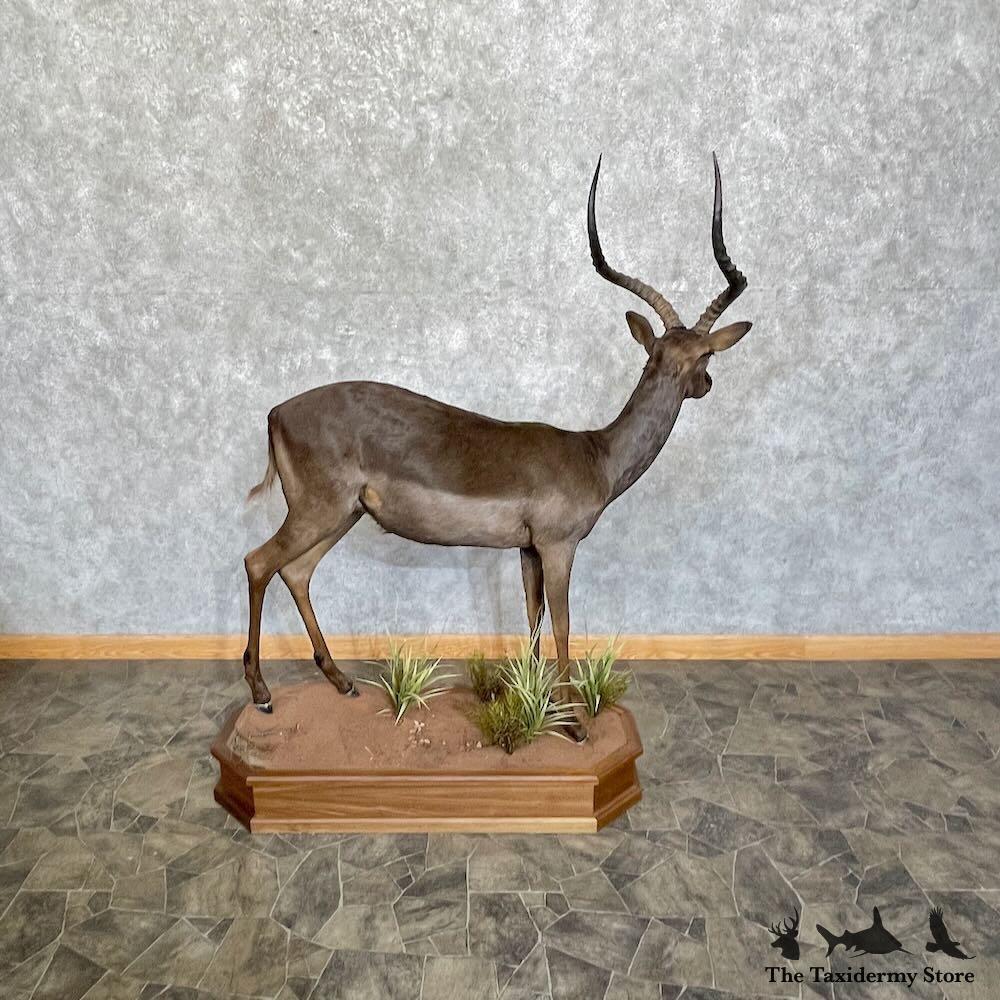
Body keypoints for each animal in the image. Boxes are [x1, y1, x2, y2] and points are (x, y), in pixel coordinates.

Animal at [243, 153, 752, 741]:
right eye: (703, 357)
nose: (706, 385)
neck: (596, 454)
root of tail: (275, 412)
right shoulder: (558, 546)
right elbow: (563, 626)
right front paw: (575, 725)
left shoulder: (526, 551)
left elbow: (531, 623)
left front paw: (536, 706)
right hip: (318, 510)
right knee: (259, 562)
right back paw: (261, 694)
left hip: (342, 515)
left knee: (296, 572)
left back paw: (342, 682)